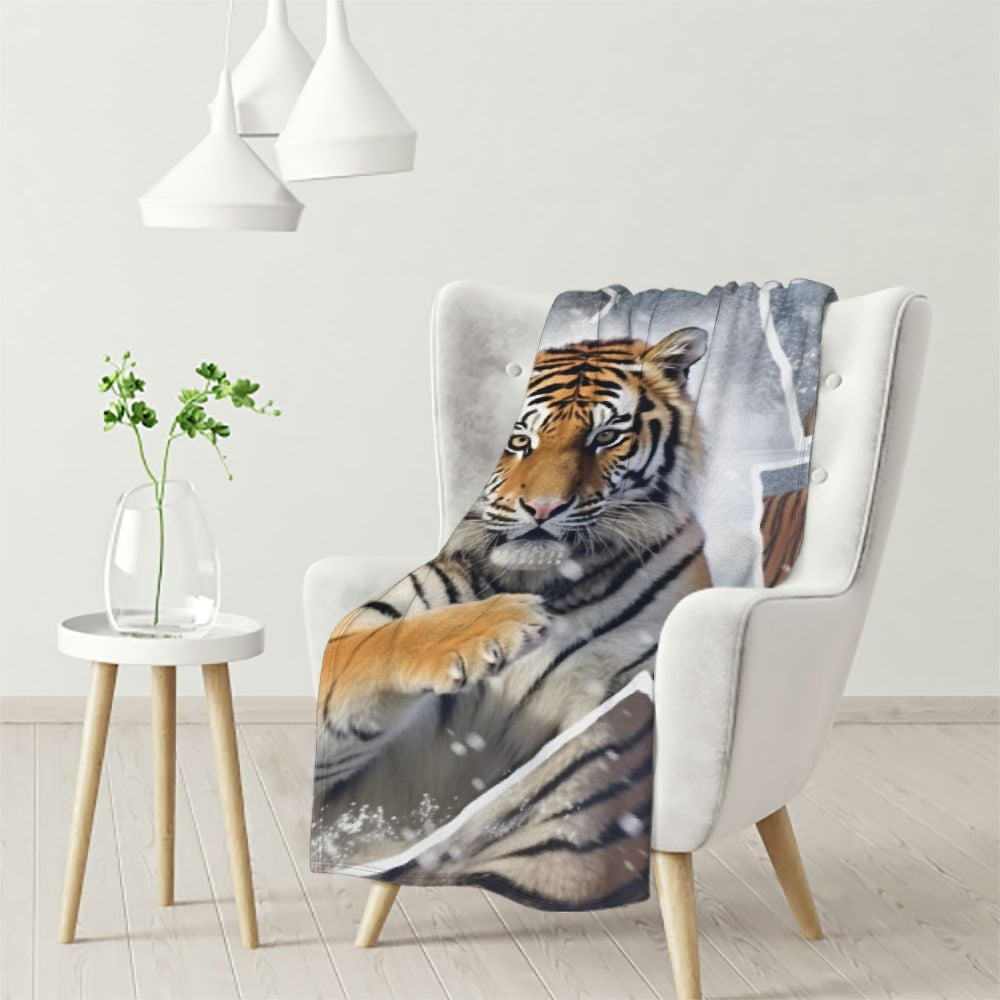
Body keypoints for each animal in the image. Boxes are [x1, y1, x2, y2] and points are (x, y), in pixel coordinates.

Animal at [313, 324, 713, 863]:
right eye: (518, 439)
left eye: (606, 437)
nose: (543, 509)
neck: (543, 581)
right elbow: (384, 645)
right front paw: (499, 624)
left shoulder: (617, 694)